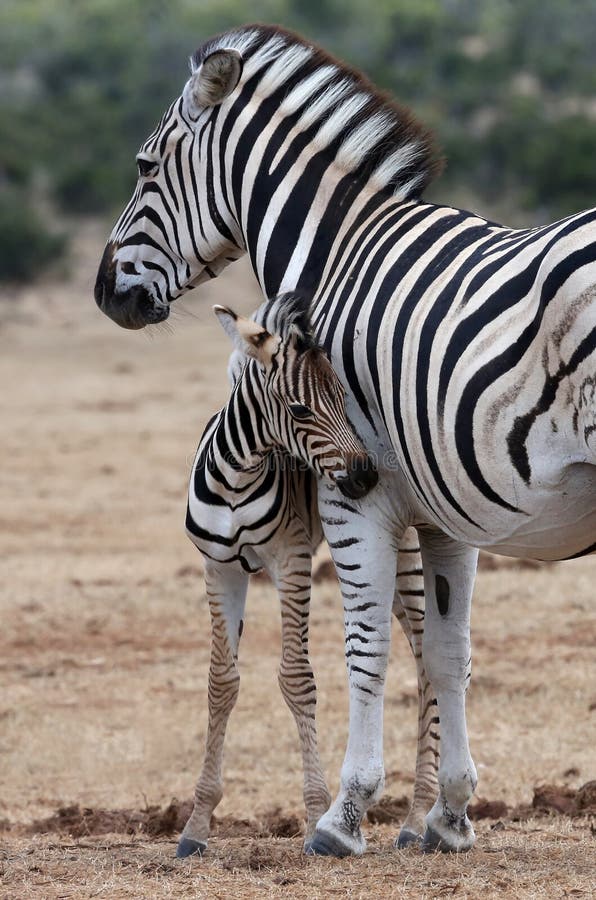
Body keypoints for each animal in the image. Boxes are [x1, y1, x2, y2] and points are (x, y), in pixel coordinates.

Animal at [179, 291, 438, 856]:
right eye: (299, 409)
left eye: (344, 396)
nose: (365, 477)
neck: (236, 479)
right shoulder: (218, 568)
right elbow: (221, 682)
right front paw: (196, 825)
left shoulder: (291, 559)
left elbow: (297, 678)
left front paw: (317, 814)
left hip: (404, 555)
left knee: (429, 660)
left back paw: (419, 817)